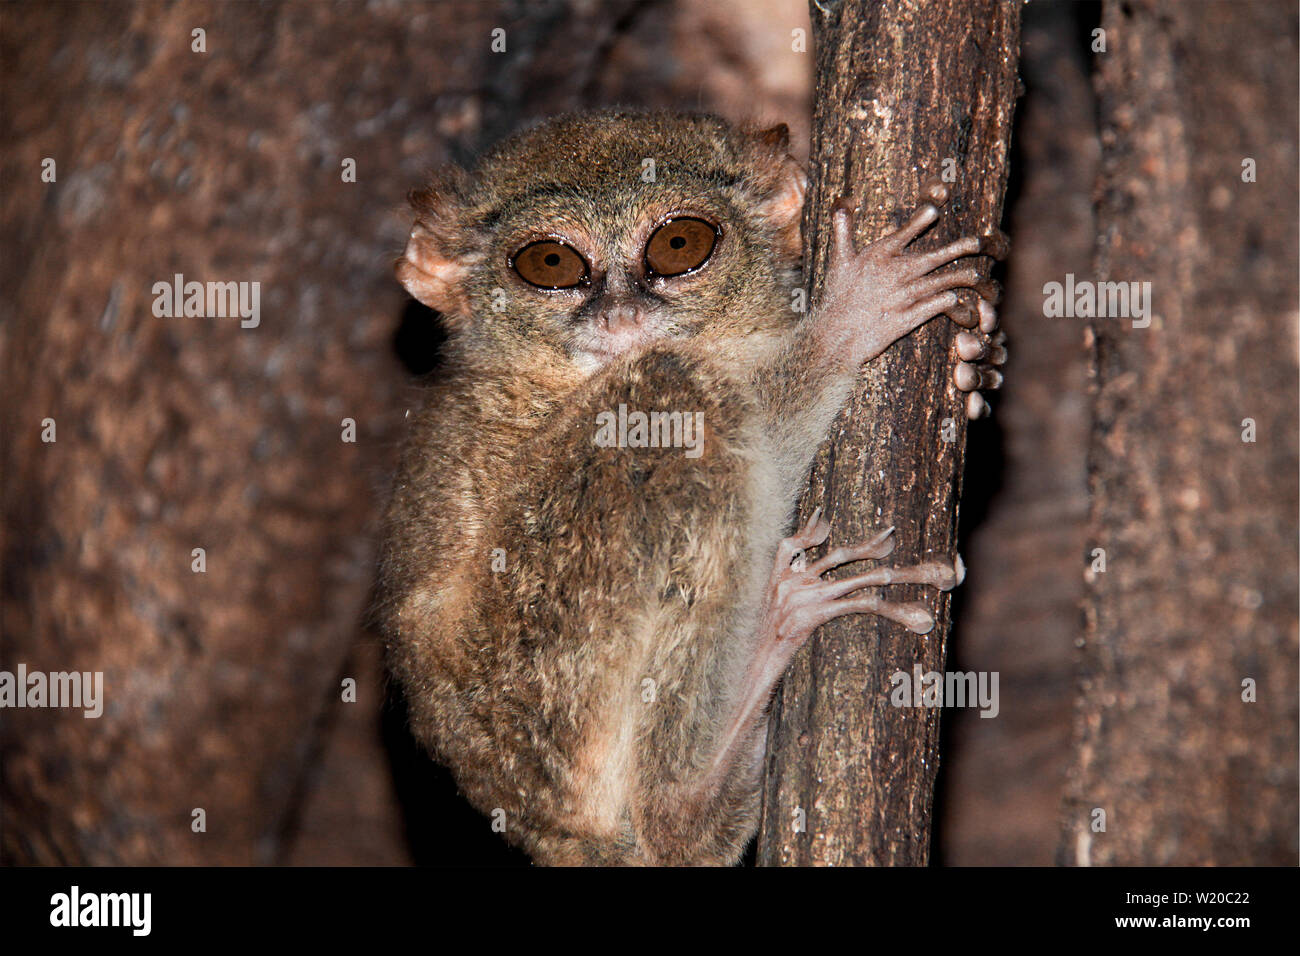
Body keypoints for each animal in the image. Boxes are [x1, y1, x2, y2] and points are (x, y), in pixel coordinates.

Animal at [376, 109, 1007, 866]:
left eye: (678, 246)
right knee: (673, 392)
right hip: (534, 685)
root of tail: (553, 835)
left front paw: (975, 358)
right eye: (551, 265)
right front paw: (847, 321)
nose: (621, 318)